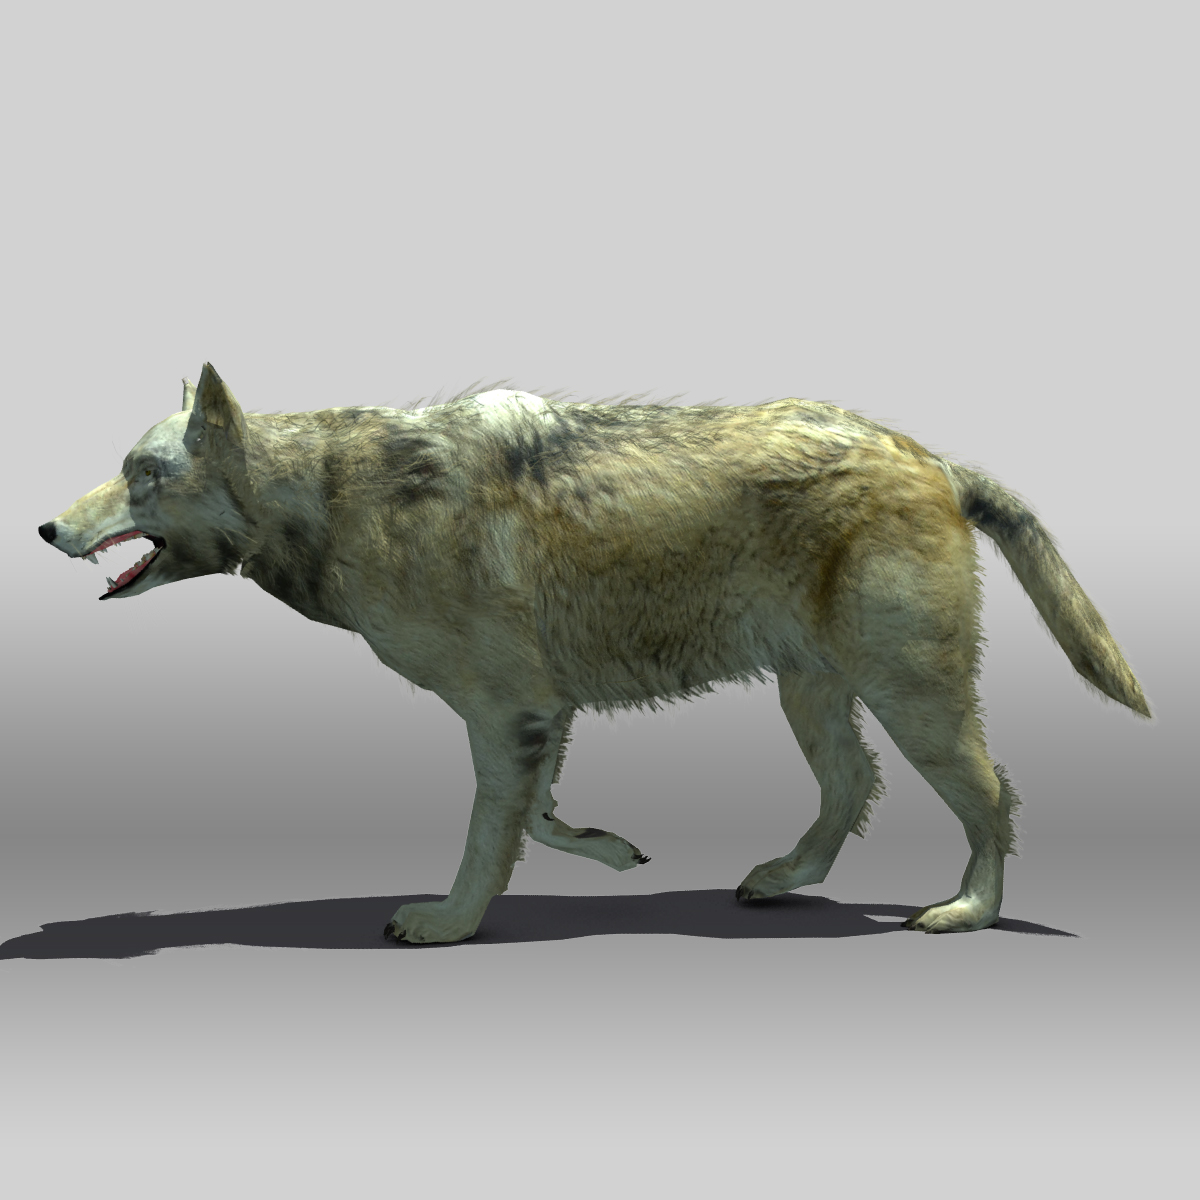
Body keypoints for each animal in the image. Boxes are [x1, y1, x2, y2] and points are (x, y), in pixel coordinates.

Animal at [39, 364, 1150, 942]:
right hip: (814, 695)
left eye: (140, 475)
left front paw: (449, 922)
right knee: (854, 783)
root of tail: (935, 458)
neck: (333, 498)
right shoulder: (540, 711)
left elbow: (488, 836)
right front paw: (611, 849)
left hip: (913, 699)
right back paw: (784, 878)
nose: (46, 528)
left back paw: (967, 910)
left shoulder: (508, 713)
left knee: (992, 793)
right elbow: (537, 816)